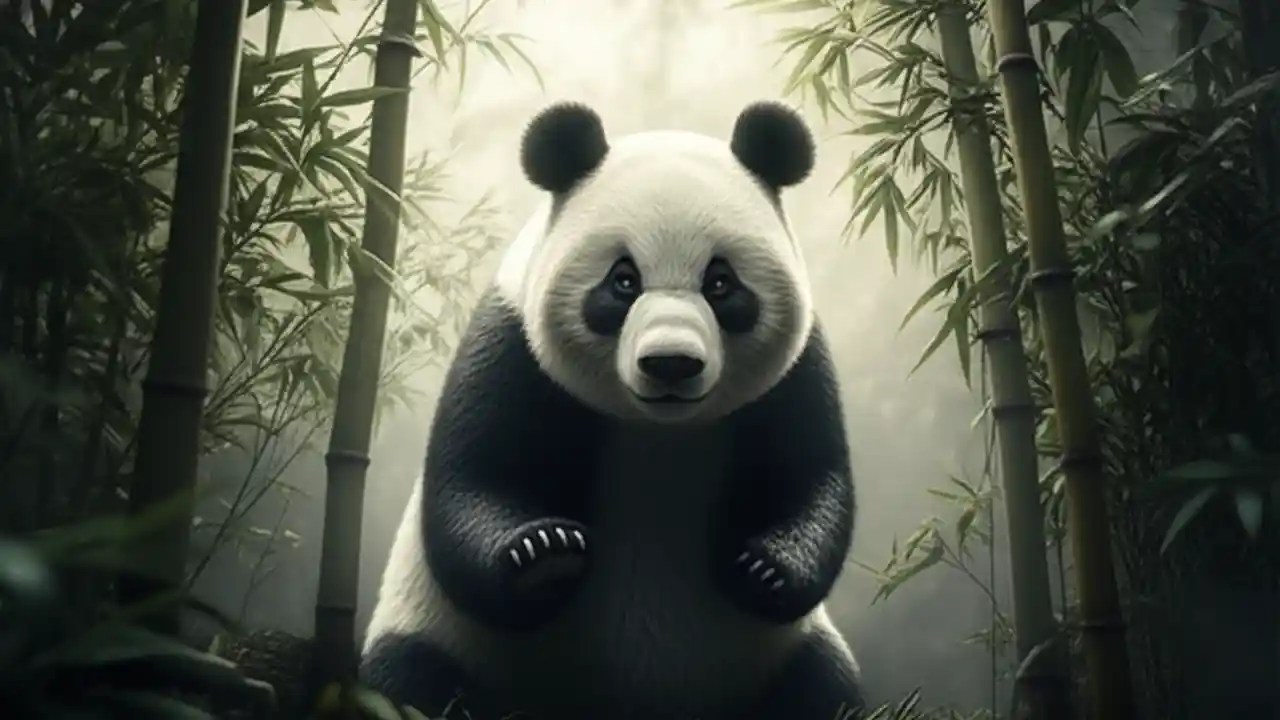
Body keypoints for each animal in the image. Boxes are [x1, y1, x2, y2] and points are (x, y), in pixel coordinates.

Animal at [360, 100, 864, 720]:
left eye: (721, 283)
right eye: (623, 281)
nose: (671, 363)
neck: (657, 430)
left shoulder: (795, 374)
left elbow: (811, 478)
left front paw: (766, 568)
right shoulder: (513, 349)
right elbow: (474, 480)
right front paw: (544, 552)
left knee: (825, 687)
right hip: (443, 643)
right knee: (408, 684)